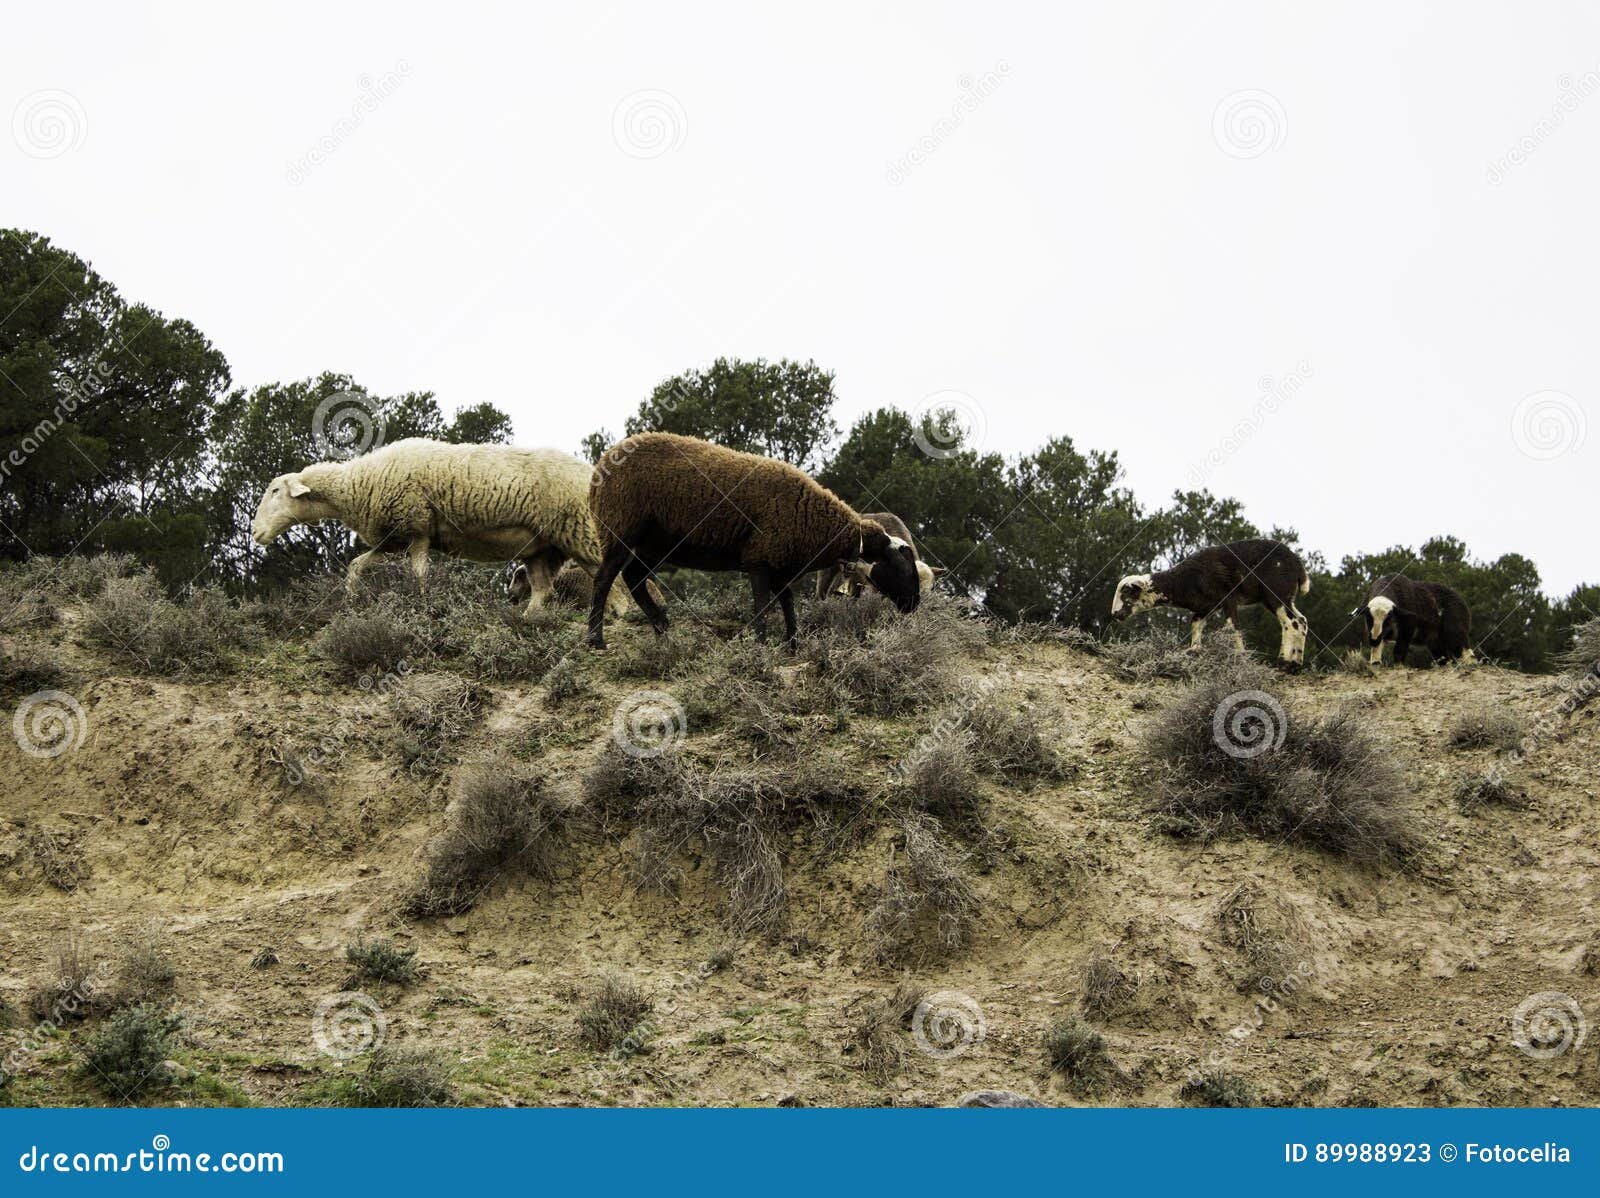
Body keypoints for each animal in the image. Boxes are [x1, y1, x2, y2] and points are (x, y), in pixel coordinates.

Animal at [250, 438, 626, 616]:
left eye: (275, 491)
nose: (255, 533)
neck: (357, 483)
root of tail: (590, 471)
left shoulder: (416, 527)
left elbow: (418, 574)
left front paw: (422, 602)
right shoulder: (393, 539)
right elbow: (357, 565)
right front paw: (352, 598)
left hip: (580, 531)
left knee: (613, 580)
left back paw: (621, 616)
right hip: (542, 547)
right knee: (543, 590)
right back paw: (526, 620)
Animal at [584, 432, 921, 649]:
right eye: (900, 566)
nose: (914, 605)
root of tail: (602, 464)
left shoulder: (780, 563)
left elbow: (787, 602)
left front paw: (792, 644)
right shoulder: (759, 559)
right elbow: (762, 606)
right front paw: (760, 646)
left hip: (654, 544)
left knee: (634, 578)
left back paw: (663, 629)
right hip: (620, 528)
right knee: (604, 579)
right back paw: (596, 639)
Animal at [1111, 539, 1311, 665]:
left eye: (1126, 592)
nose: (1114, 614)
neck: (1182, 580)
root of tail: (1297, 564)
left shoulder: (1228, 599)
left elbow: (1232, 628)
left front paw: (1241, 658)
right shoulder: (1206, 607)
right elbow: (1195, 625)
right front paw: (1194, 651)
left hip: (1276, 593)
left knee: (1291, 623)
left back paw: (1283, 662)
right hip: (1280, 598)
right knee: (1301, 621)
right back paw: (1296, 663)